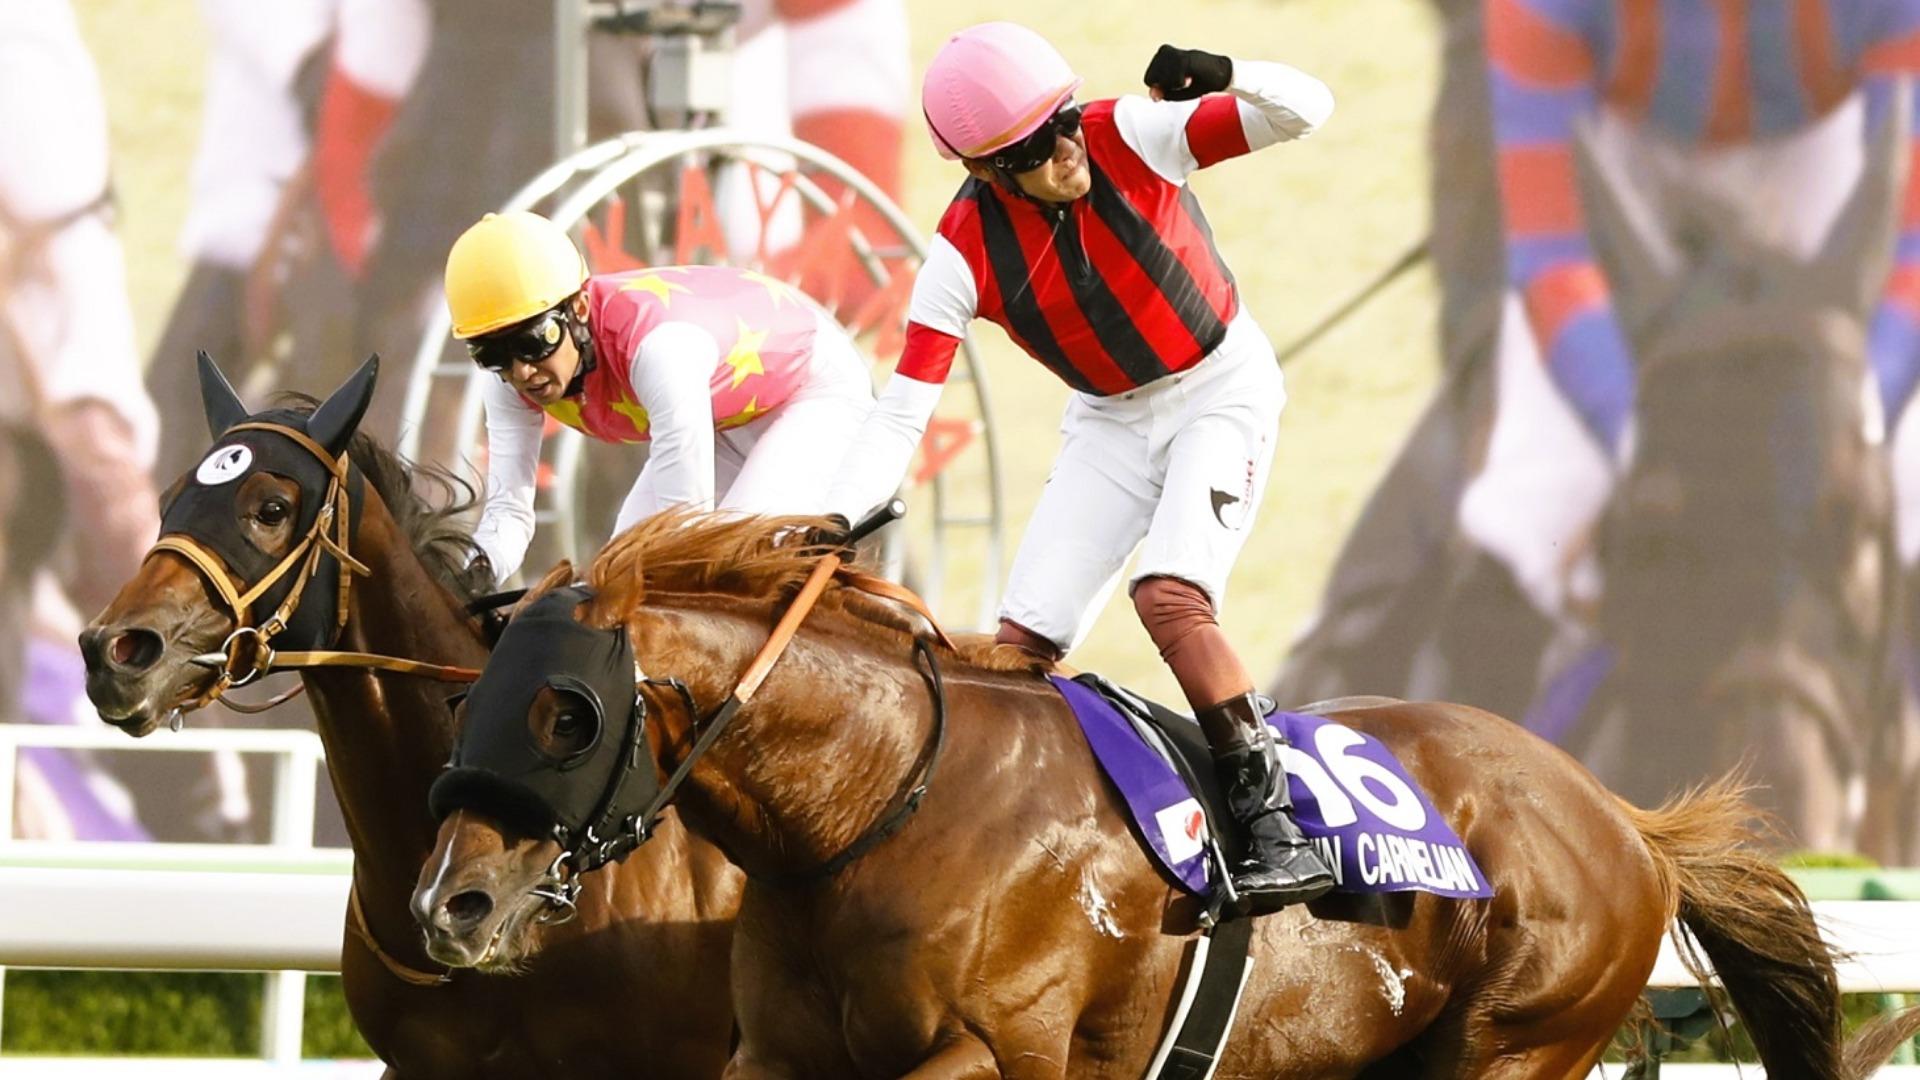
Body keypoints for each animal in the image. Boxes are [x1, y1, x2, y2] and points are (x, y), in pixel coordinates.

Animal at [413, 511, 1920, 1078]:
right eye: (462, 707)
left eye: (563, 715)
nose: (449, 905)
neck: (870, 813)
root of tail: (1624, 820)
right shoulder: (776, 1056)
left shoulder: (996, 1055)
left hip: (1512, 1043)